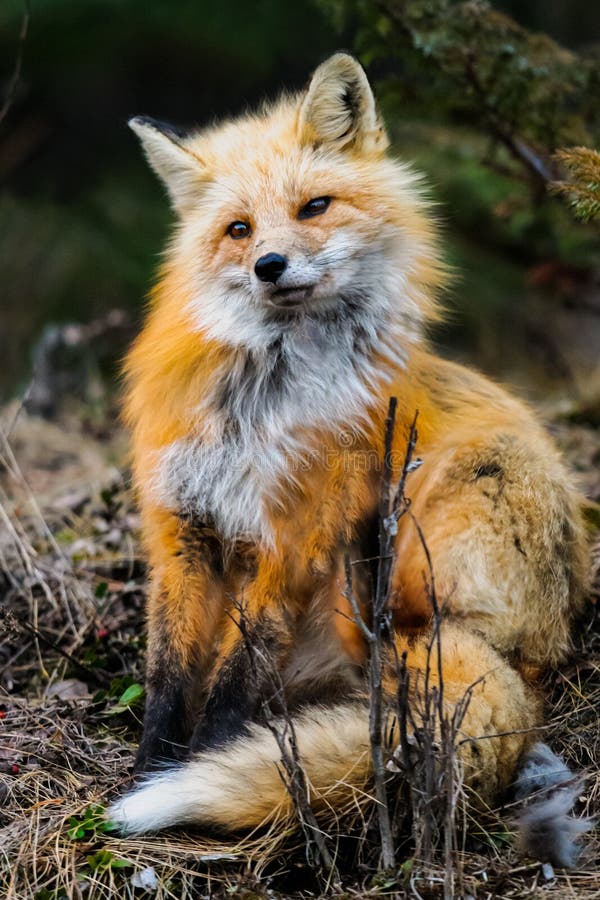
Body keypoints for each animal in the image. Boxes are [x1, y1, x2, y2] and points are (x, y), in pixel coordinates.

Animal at [108, 53, 590, 860]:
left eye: (314, 207)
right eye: (238, 230)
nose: (271, 265)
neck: (260, 406)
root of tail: (541, 655)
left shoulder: (293, 539)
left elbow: (238, 678)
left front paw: (203, 762)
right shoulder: (182, 529)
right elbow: (169, 676)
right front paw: (150, 767)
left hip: (448, 517)